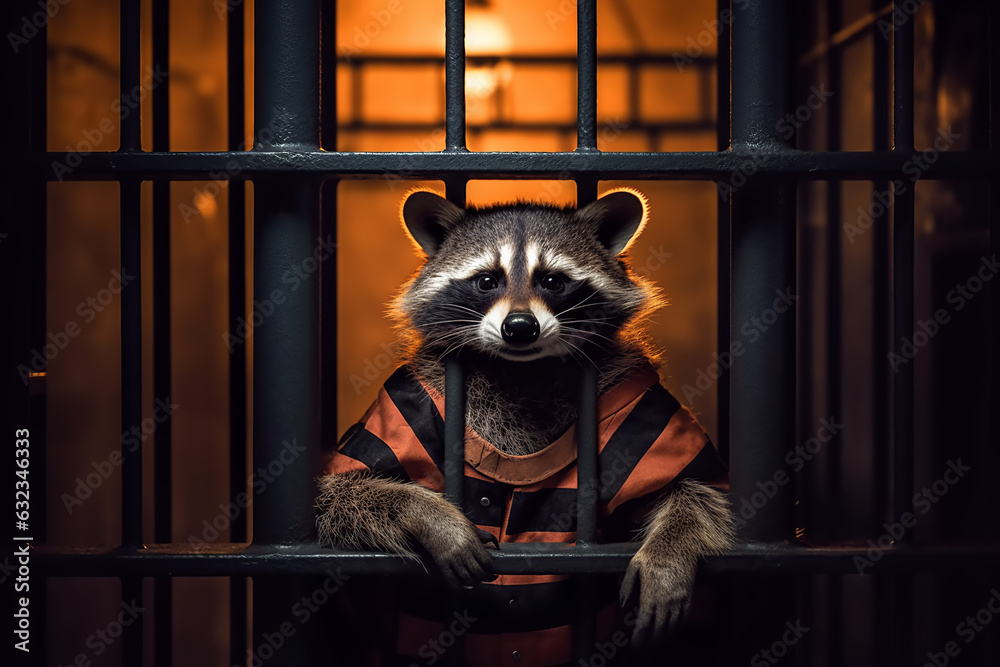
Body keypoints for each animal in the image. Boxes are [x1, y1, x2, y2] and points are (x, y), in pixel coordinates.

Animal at [316, 188, 734, 664]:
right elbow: (339, 494)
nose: (519, 327)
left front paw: (669, 552)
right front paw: (429, 516)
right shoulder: (410, 396)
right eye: (486, 281)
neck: (522, 370)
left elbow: (697, 488)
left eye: (552, 281)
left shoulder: (633, 394)